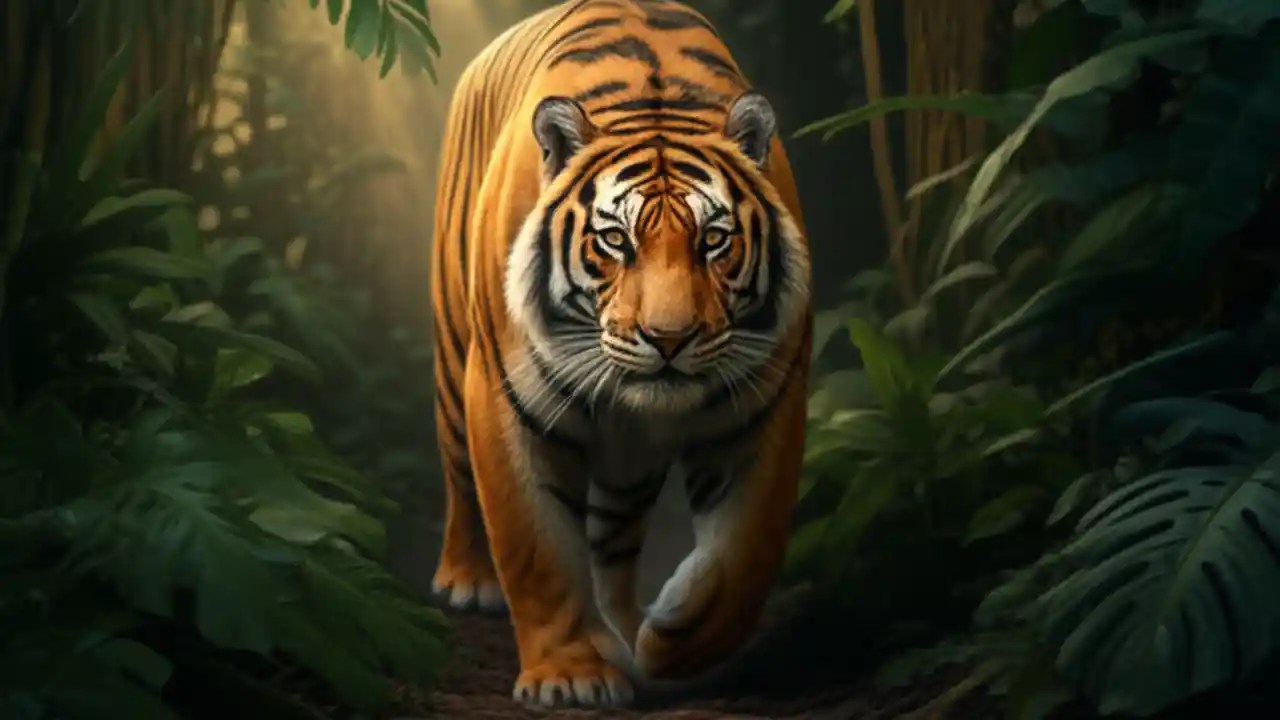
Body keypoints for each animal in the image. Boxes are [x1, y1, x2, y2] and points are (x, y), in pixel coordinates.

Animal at [427, 0, 812, 708]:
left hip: (630, 465)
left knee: (612, 538)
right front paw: (568, 676)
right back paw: (467, 580)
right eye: (614, 240)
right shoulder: (504, 399)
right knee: (459, 473)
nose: (668, 338)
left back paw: (623, 626)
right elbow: (535, 550)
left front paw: (670, 640)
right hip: (452, 353)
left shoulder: (767, 399)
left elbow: (744, 554)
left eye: (714, 240)